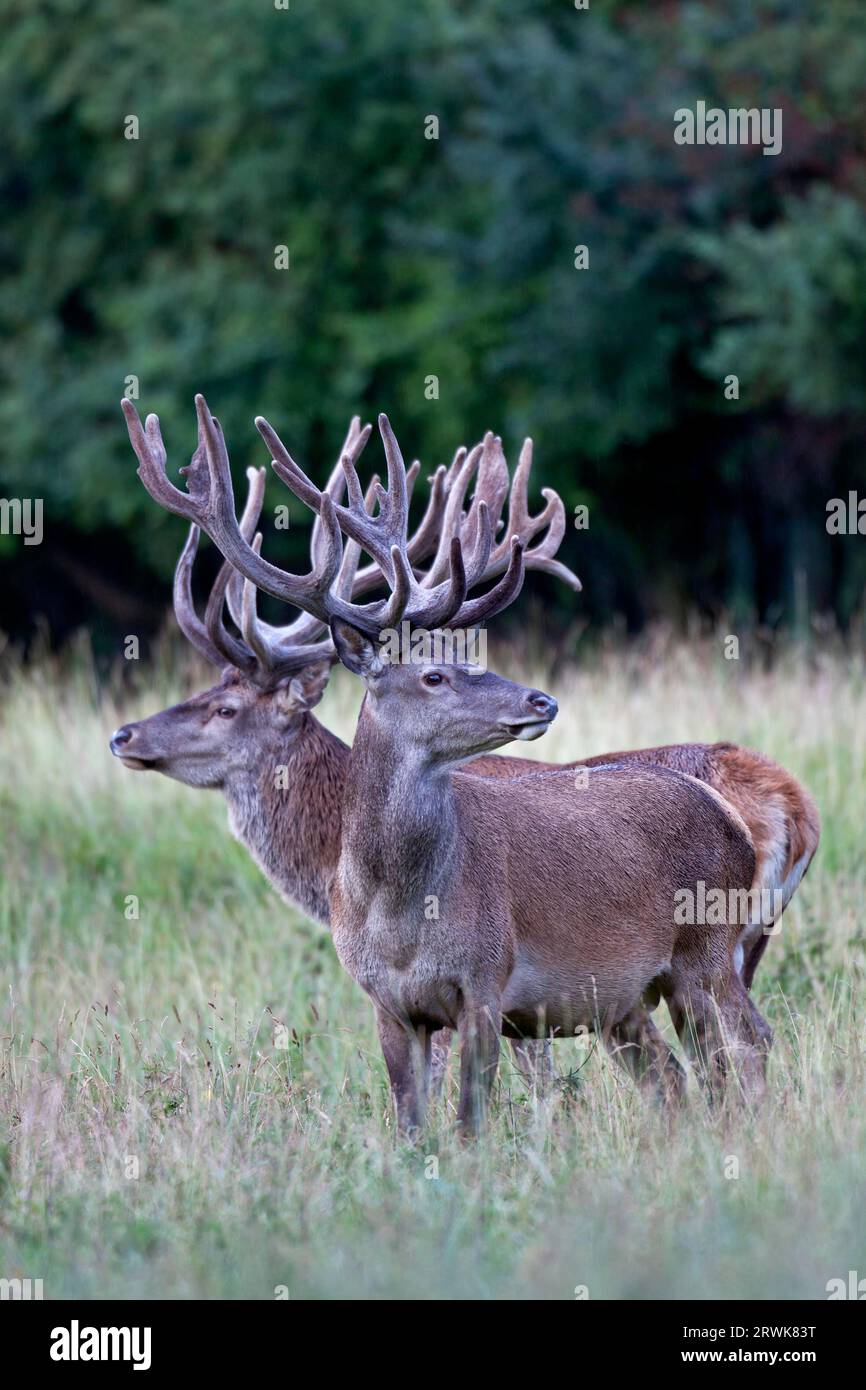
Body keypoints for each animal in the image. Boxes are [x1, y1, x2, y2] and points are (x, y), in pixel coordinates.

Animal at [119, 399, 775, 1132]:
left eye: (225, 707)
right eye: (433, 673)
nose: (124, 734)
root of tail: (737, 817)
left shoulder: (487, 985)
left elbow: (471, 1120)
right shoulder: (389, 1004)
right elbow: (412, 1122)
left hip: (707, 951)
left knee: (740, 1053)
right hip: (632, 996)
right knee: (676, 1079)